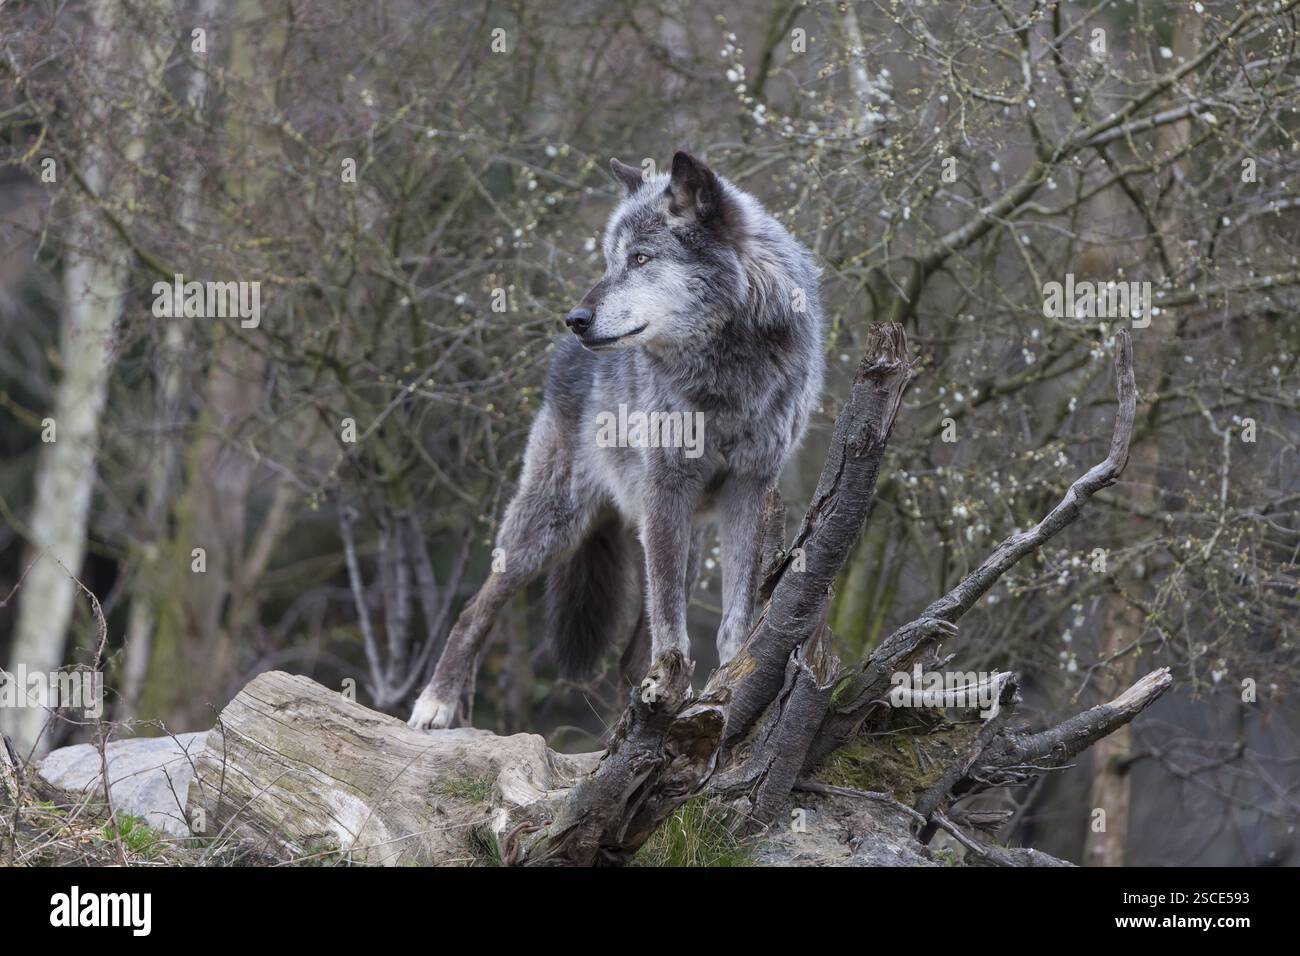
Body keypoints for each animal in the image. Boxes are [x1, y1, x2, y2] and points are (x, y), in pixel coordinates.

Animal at [409, 151, 824, 730]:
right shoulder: (666, 486)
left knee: (630, 661)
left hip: (680, 534)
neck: (728, 371)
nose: (576, 318)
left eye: (642, 258)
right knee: (475, 609)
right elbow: (671, 626)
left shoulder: (751, 488)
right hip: (555, 522)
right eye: (610, 260)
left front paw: (728, 686)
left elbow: (734, 619)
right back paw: (438, 702)